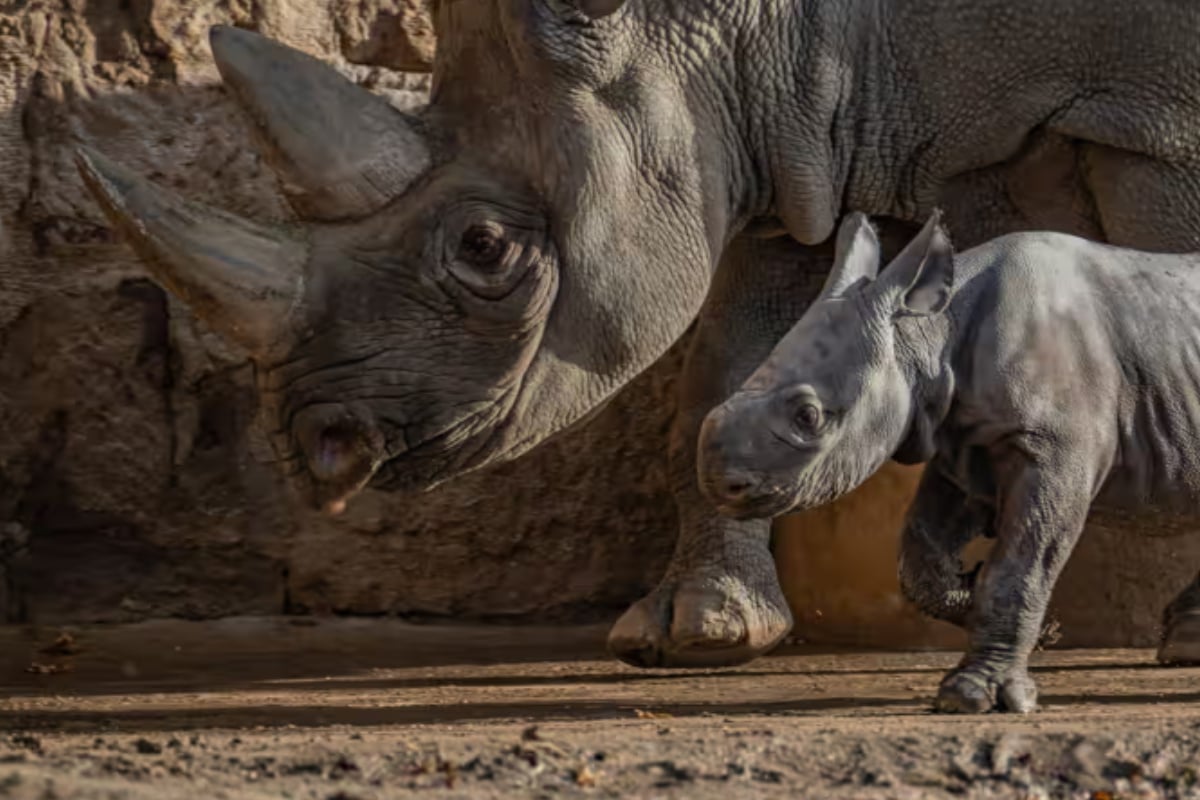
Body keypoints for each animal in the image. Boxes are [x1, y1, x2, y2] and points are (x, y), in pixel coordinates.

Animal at [698, 211, 1200, 712]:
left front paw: (971, 696)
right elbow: (919, 556)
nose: (720, 484)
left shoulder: (1053, 449)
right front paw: (993, 609)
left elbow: (1021, 565)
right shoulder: (963, 445)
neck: (933, 332)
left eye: (808, 416)